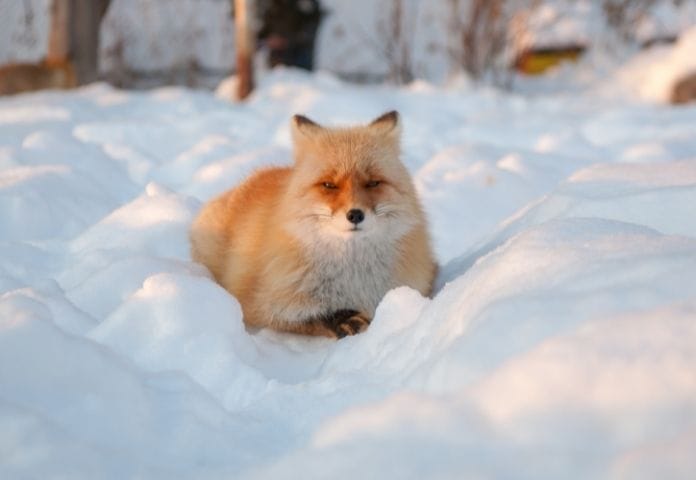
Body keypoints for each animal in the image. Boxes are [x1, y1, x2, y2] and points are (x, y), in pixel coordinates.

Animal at [189, 111, 437, 338]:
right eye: (329, 185)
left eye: (373, 183)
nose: (355, 215)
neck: (352, 277)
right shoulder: (259, 302)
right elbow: (310, 315)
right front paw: (345, 320)